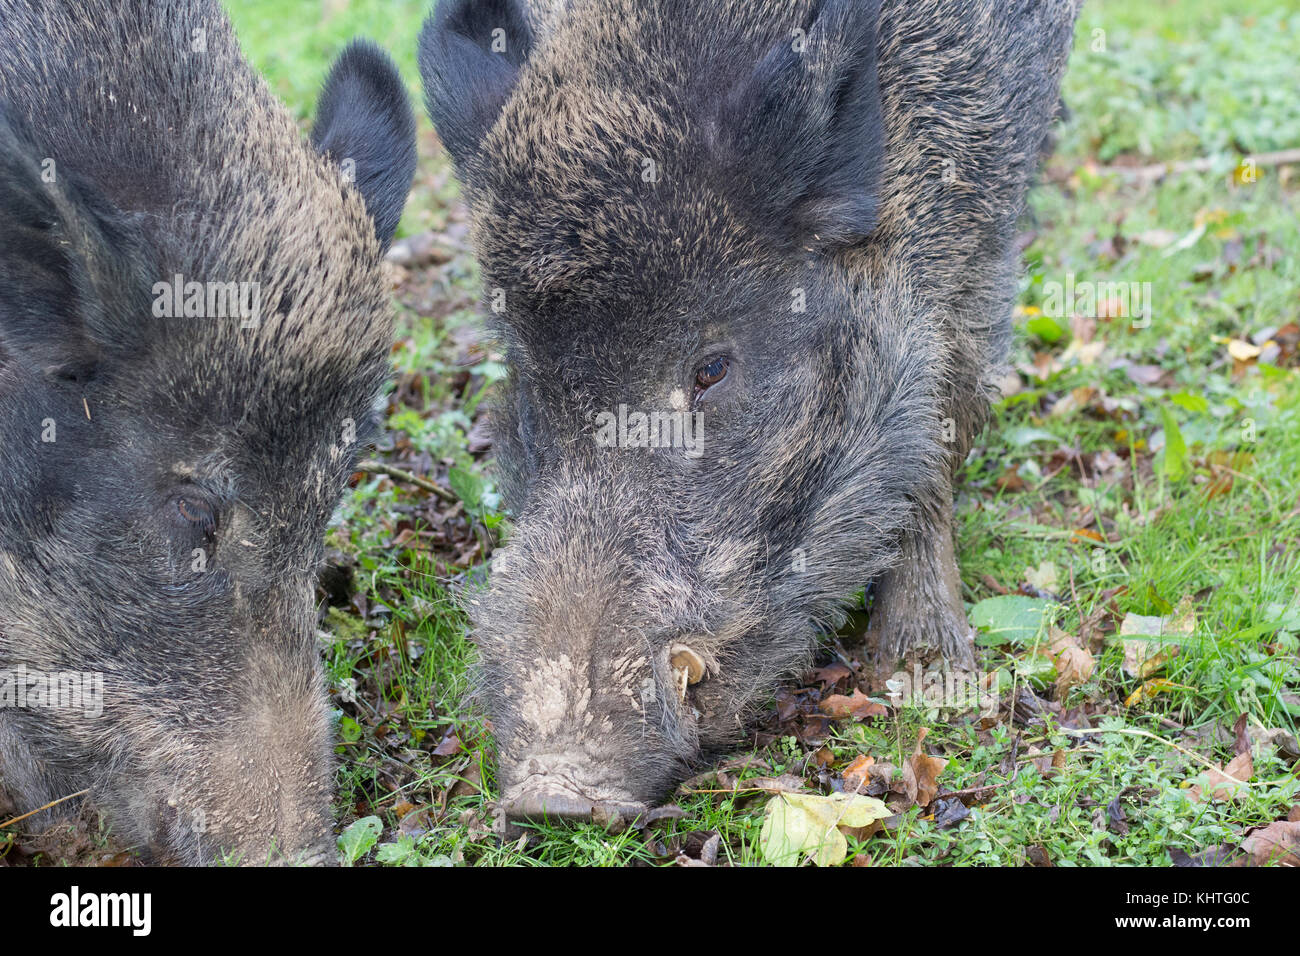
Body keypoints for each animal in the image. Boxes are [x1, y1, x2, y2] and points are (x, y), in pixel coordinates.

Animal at [419, 0, 1079, 828]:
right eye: (528, 378)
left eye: (710, 368)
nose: (552, 794)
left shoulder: (979, 219)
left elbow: (942, 425)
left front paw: (928, 679)